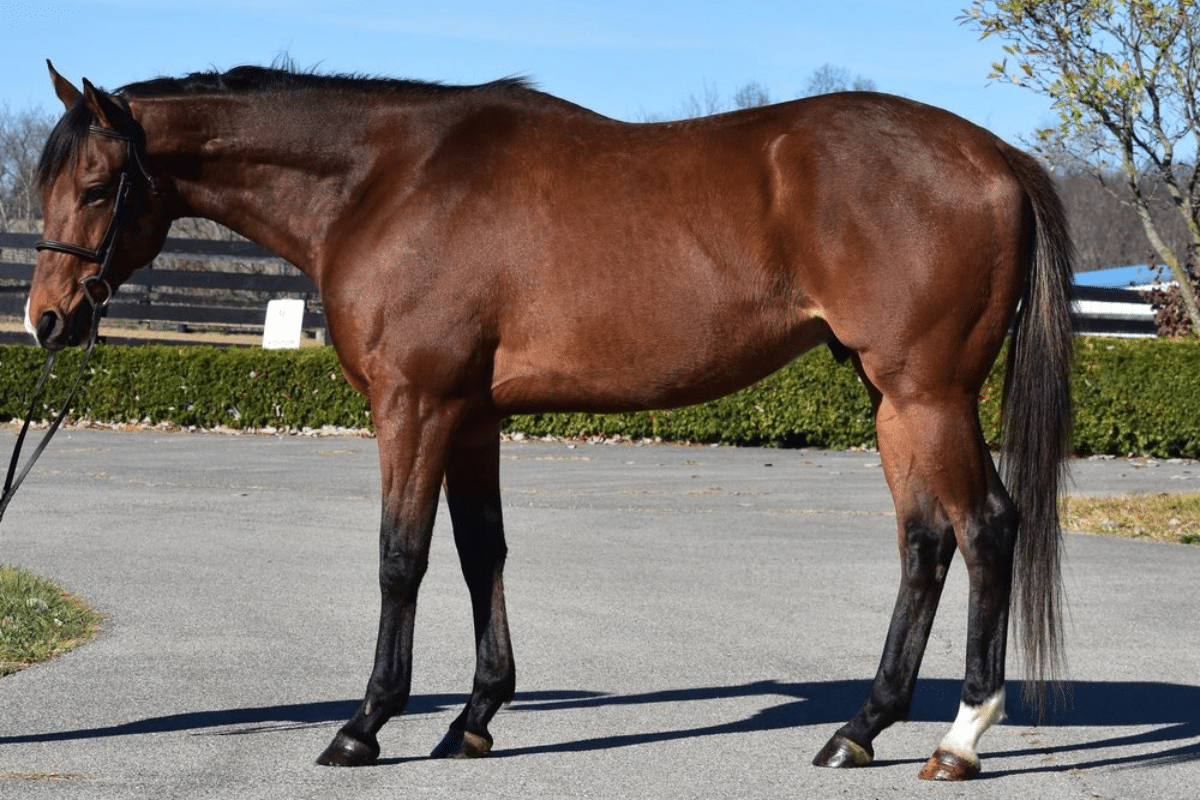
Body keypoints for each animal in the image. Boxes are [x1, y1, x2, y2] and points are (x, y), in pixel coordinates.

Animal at [26, 60, 1073, 781]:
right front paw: (474, 718)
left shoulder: (415, 403)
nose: (47, 320)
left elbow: (401, 556)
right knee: (926, 544)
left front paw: (365, 725)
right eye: (47, 186)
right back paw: (860, 730)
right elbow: (479, 551)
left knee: (987, 528)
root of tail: (996, 156)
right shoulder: (471, 414)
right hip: (890, 399)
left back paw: (961, 738)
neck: (387, 180)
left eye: (96, 188)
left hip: (929, 393)